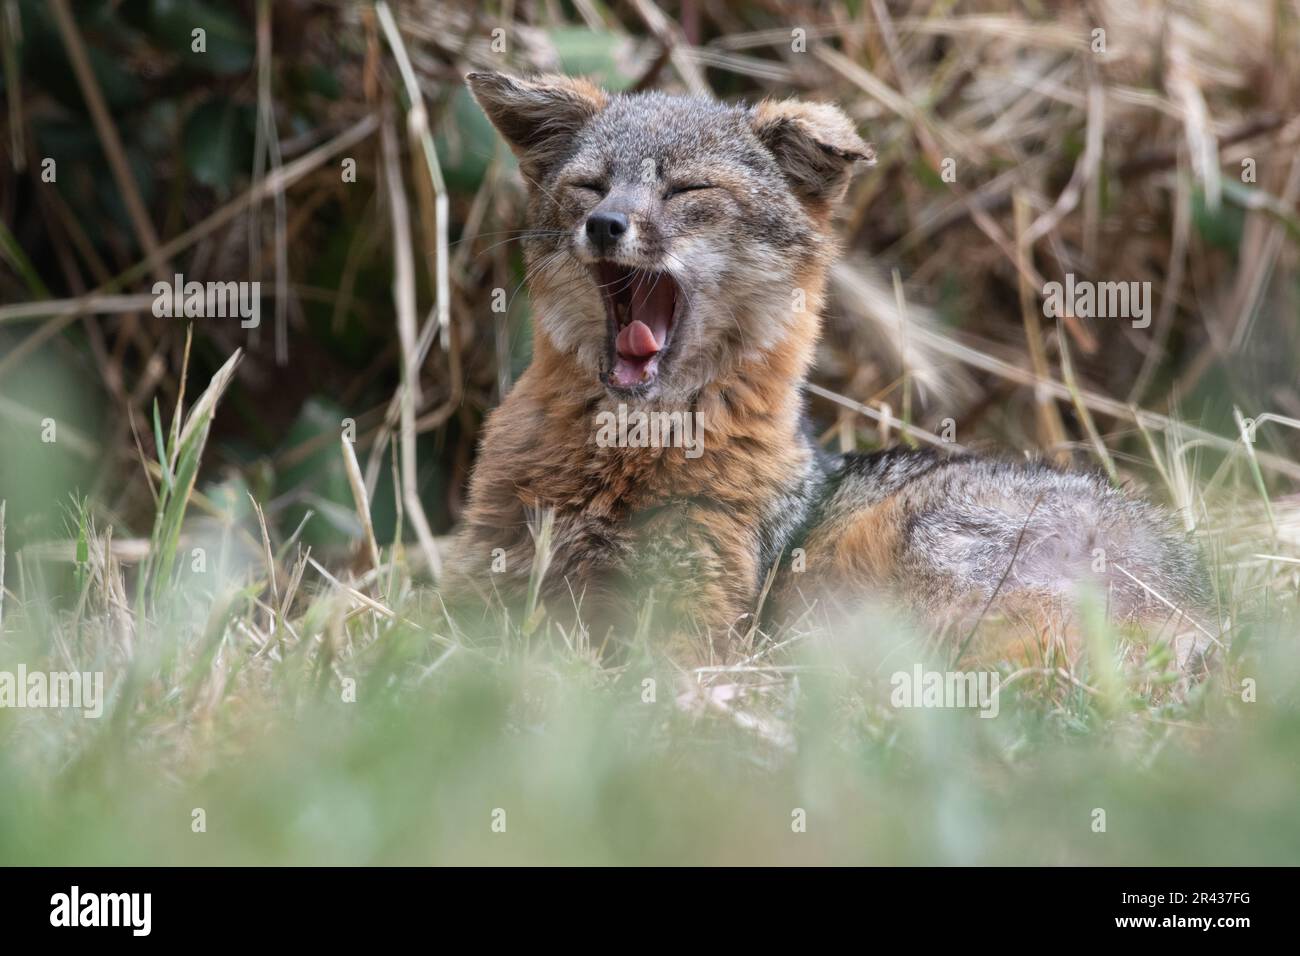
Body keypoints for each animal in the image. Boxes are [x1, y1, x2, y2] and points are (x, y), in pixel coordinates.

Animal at [445, 70, 1210, 661]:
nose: (605, 225)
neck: (617, 466)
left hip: (921, 549)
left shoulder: (694, 619)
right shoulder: (483, 590)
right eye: (591, 186)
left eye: (688, 191)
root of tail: (1202, 597)